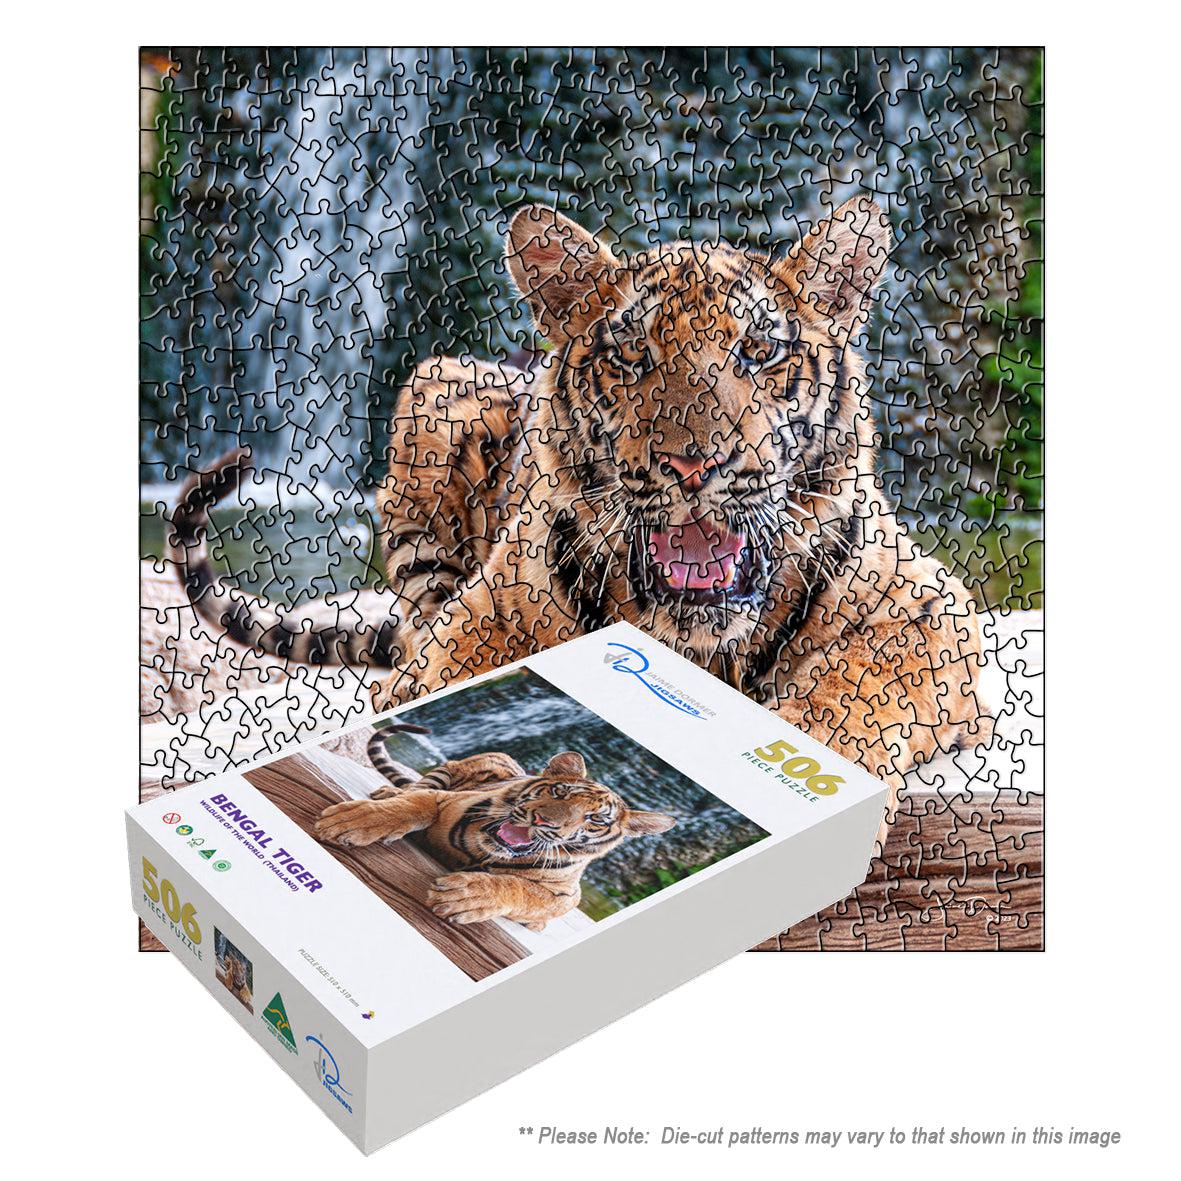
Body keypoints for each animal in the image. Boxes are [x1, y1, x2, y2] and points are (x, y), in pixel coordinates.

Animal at [171, 194, 990, 856]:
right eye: (631, 355)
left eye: (758, 351)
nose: (695, 465)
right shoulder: (476, 618)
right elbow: (445, 681)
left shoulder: (932, 606)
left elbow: (857, 691)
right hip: (439, 389)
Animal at [314, 736, 676, 930]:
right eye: (559, 792)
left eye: (595, 819)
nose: (543, 821)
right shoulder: (443, 798)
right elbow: (416, 803)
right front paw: (351, 820)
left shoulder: (566, 896)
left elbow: (523, 892)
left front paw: (465, 896)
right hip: (461, 765)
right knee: (414, 786)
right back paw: (387, 793)